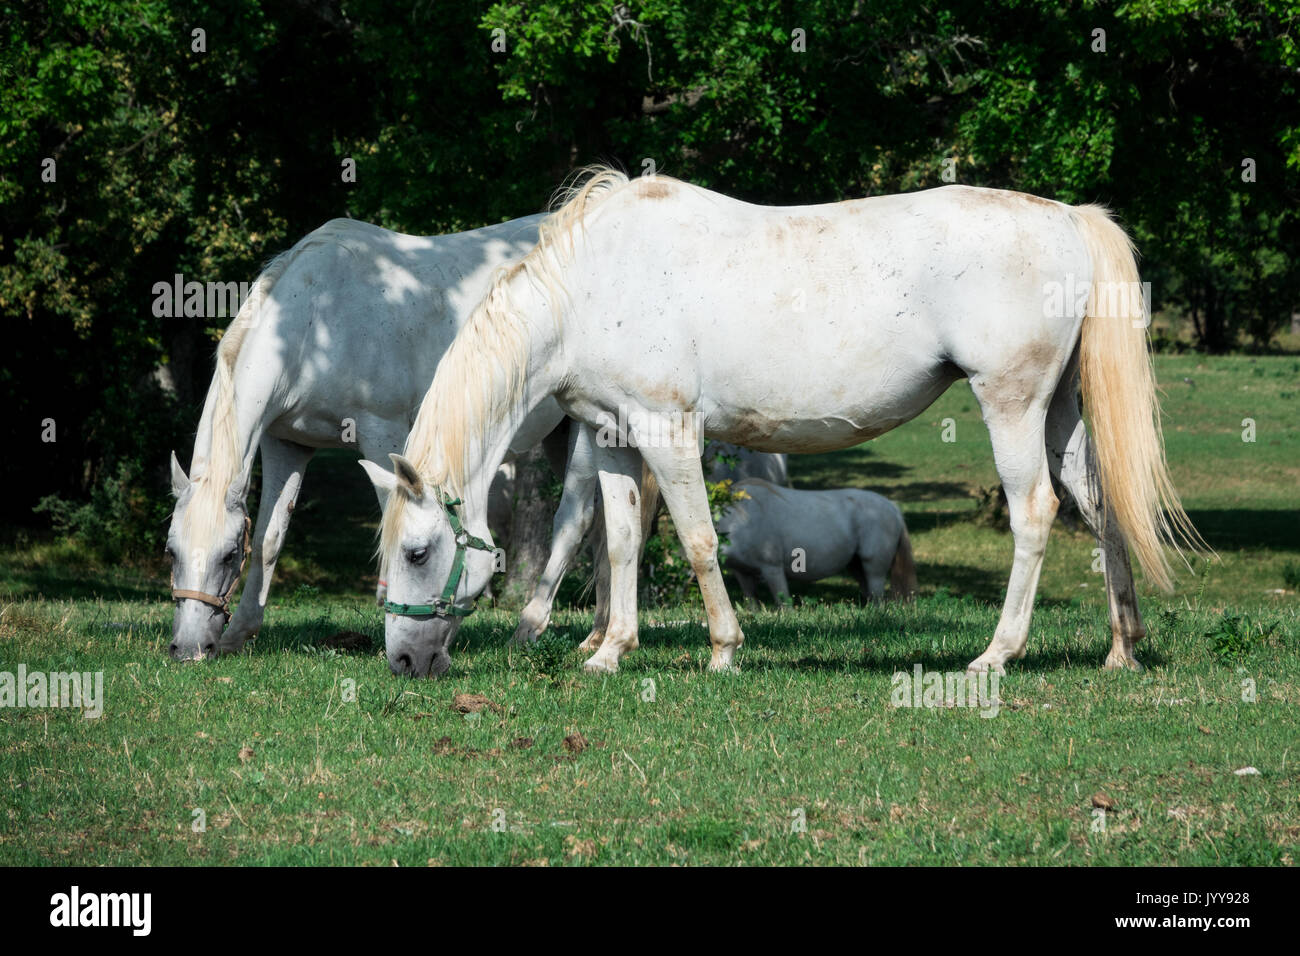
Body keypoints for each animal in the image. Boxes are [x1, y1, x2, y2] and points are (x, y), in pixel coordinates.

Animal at [165, 213, 580, 660]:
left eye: (227, 556)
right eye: (171, 551)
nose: (188, 649)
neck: (316, 323)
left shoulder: (382, 433)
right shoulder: (286, 444)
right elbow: (268, 538)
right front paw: (239, 633)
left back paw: (538, 628)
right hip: (560, 434)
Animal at [717, 478, 916, 604]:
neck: (741, 520)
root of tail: (893, 508)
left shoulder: (772, 568)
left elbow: (784, 603)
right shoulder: (742, 573)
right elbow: (752, 603)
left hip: (874, 566)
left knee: (877, 596)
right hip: (856, 566)